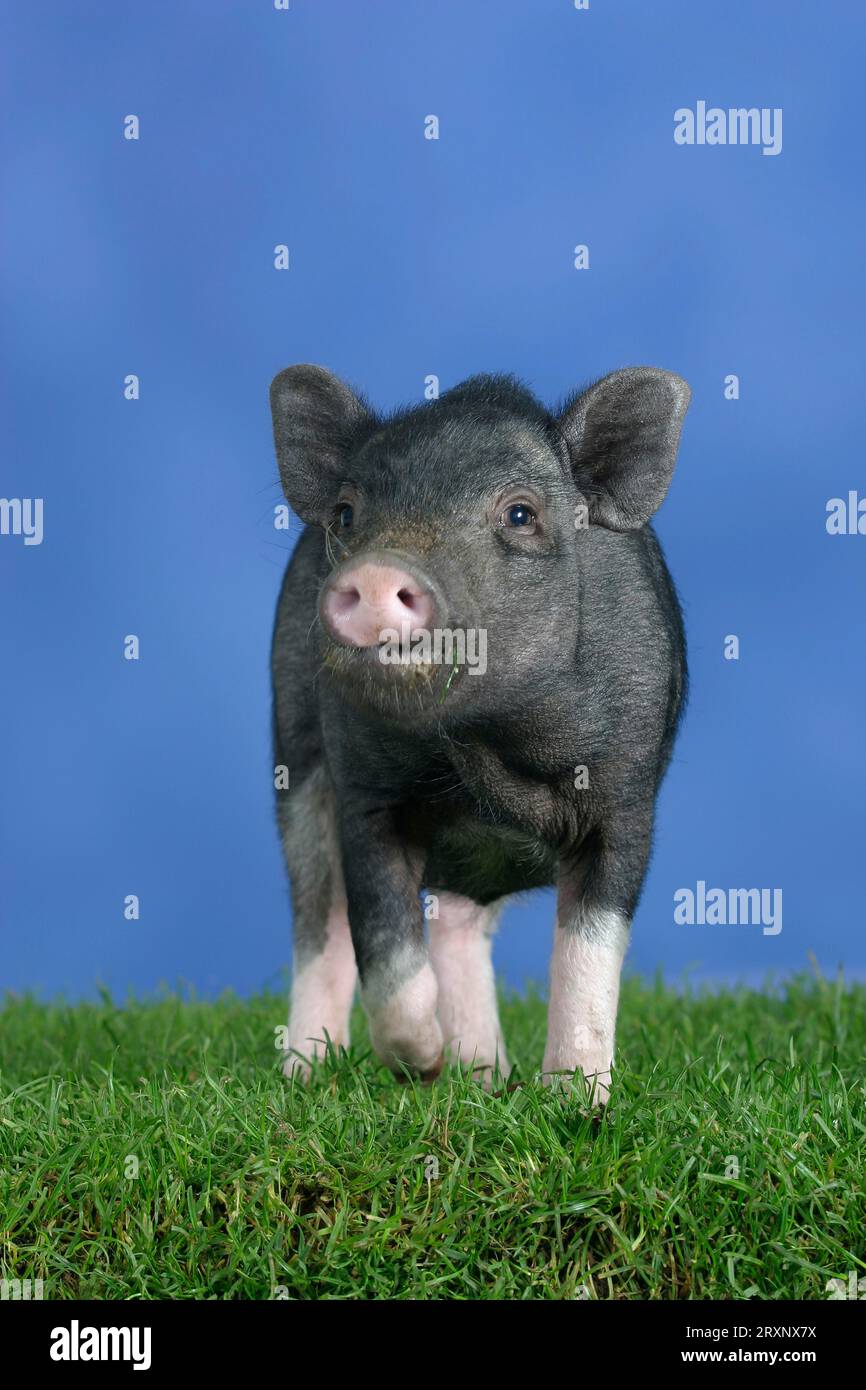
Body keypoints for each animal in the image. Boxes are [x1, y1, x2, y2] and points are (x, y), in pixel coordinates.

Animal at [270, 364, 690, 1101]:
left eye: (520, 514)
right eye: (347, 515)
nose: (376, 571)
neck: (486, 745)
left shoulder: (625, 800)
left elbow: (588, 953)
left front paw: (576, 1099)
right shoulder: (365, 798)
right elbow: (384, 943)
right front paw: (421, 1063)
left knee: (459, 925)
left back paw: (485, 1079)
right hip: (295, 761)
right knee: (320, 922)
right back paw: (313, 1075)